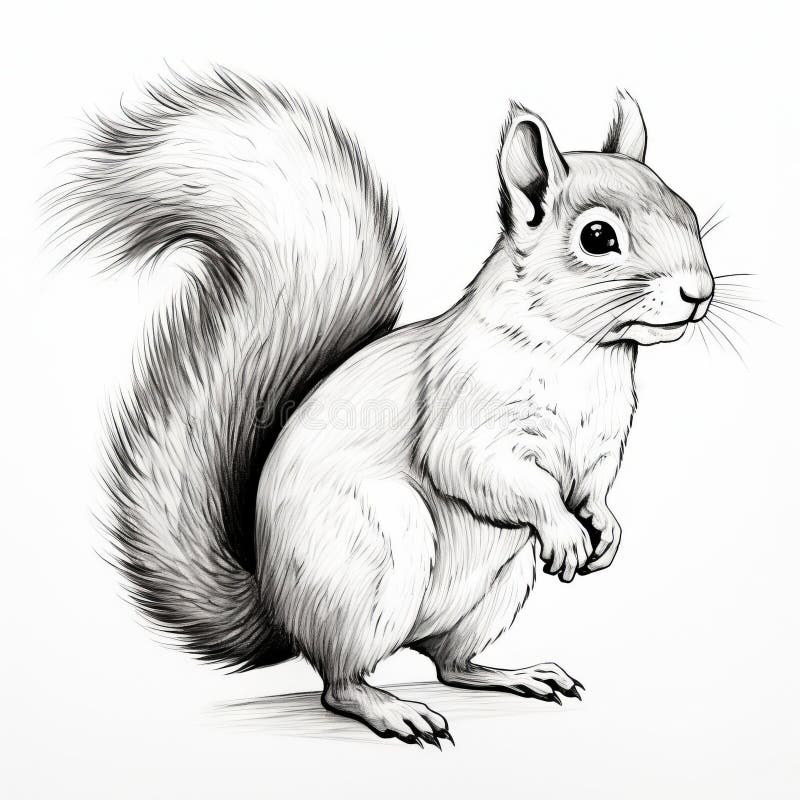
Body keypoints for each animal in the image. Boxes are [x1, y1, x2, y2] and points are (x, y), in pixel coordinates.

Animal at [53, 68, 714, 746]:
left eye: (688, 211)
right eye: (598, 236)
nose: (698, 292)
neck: (585, 355)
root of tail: (277, 605)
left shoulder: (603, 443)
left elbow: (595, 487)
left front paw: (604, 528)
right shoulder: (464, 412)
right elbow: (481, 471)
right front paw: (563, 528)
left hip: (498, 587)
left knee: (451, 663)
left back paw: (515, 674)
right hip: (377, 560)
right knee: (341, 682)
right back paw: (392, 708)